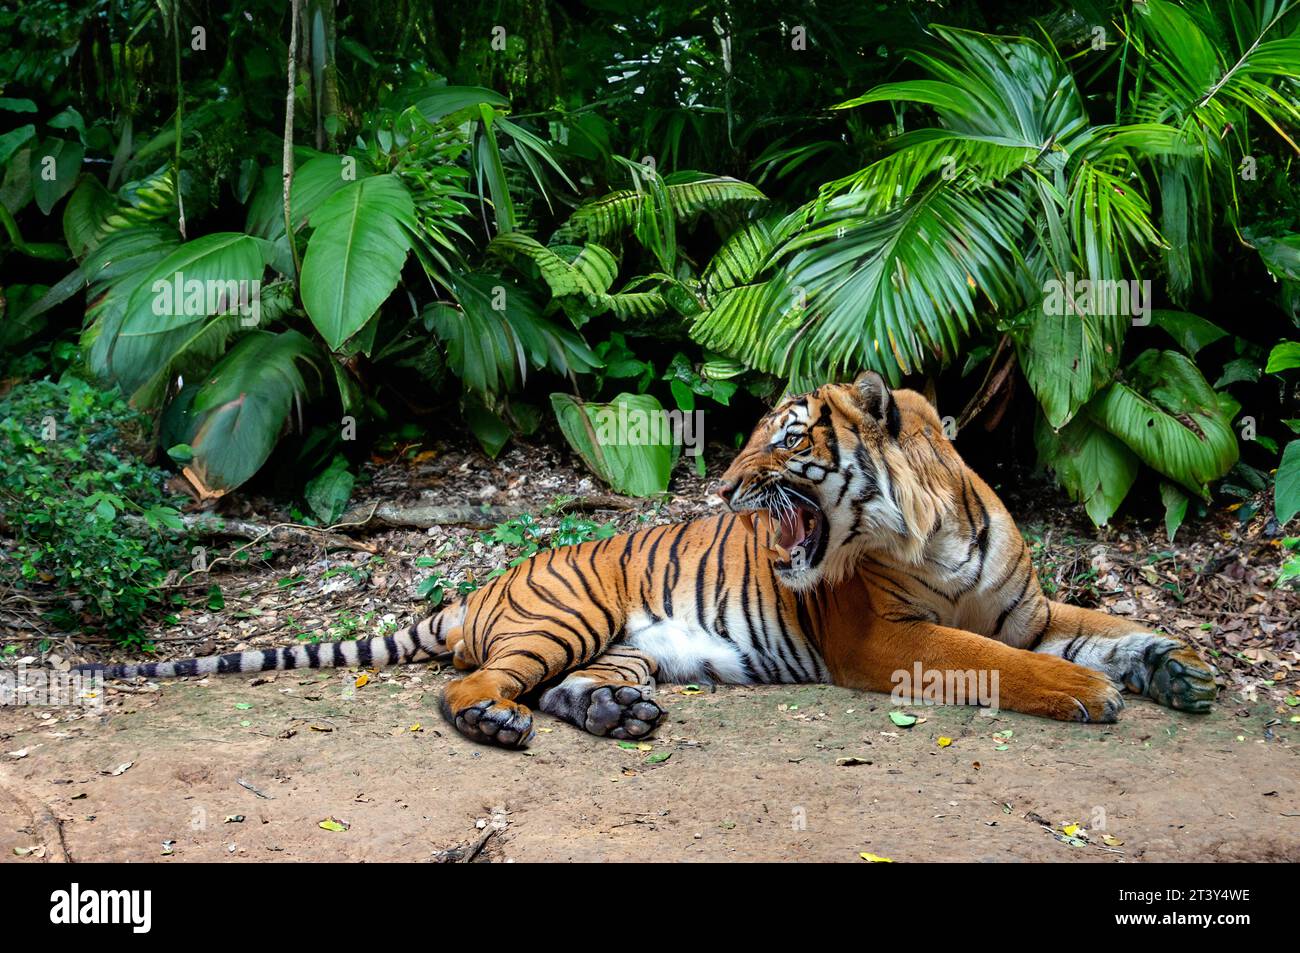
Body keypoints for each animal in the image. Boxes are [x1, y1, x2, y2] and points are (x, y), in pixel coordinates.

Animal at [75, 372, 1218, 748]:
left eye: (783, 440)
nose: (723, 485)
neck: (929, 523)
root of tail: (476, 588)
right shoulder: (887, 639)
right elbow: (1010, 663)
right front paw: (1088, 693)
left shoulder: (1026, 608)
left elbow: (1107, 628)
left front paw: (1177, 668)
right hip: (564, 614)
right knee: (468, 686)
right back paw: (497, 723)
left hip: (621, 646)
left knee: (556, 688)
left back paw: (615, 713)